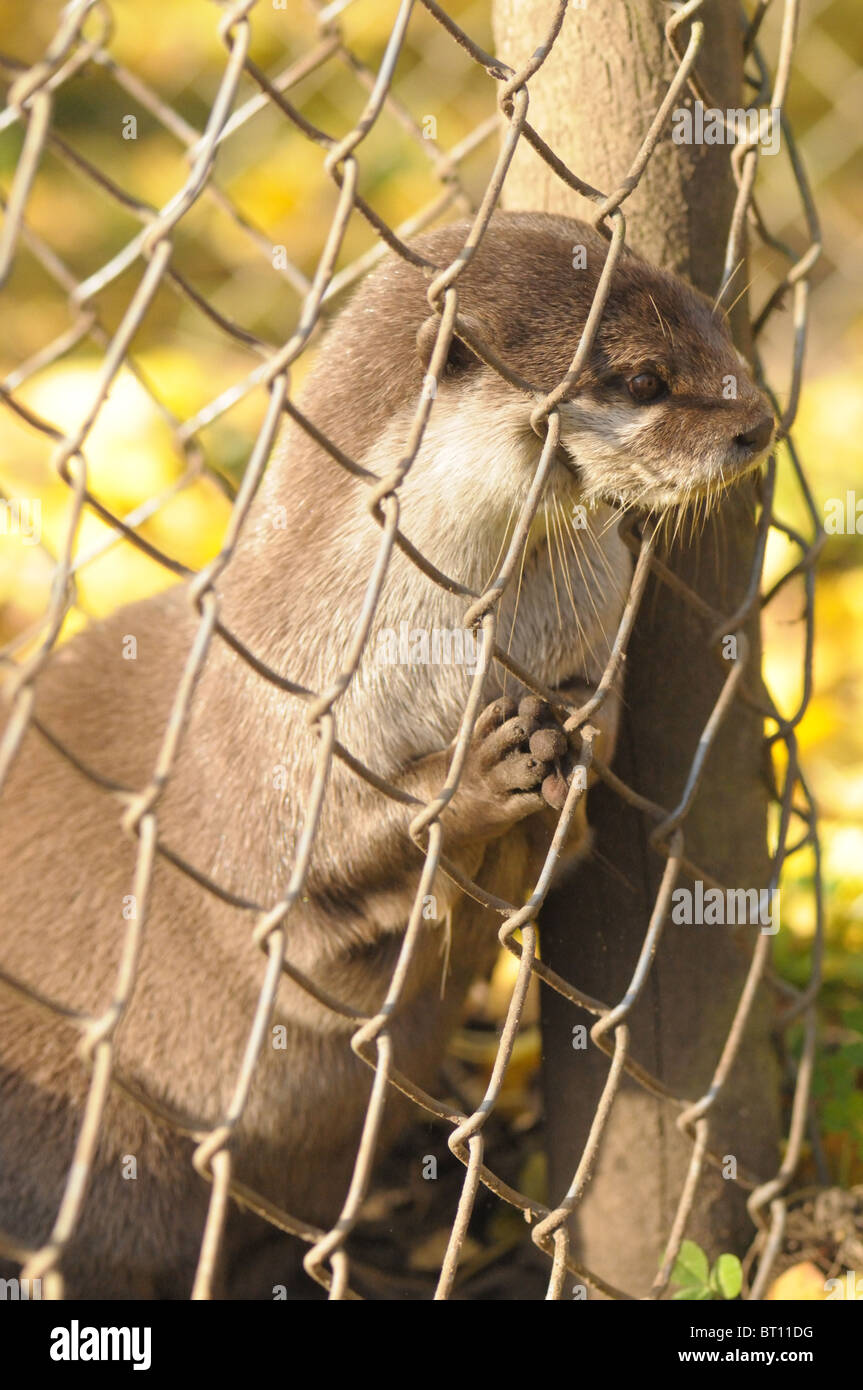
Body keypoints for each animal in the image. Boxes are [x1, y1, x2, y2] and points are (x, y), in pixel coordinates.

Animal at [0, 212, 773, 1298]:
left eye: (715, 324)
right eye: (640, 379)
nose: (758, 422)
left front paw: (566, 739)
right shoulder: (272, 768)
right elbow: (332, 905)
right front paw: (468, 784)